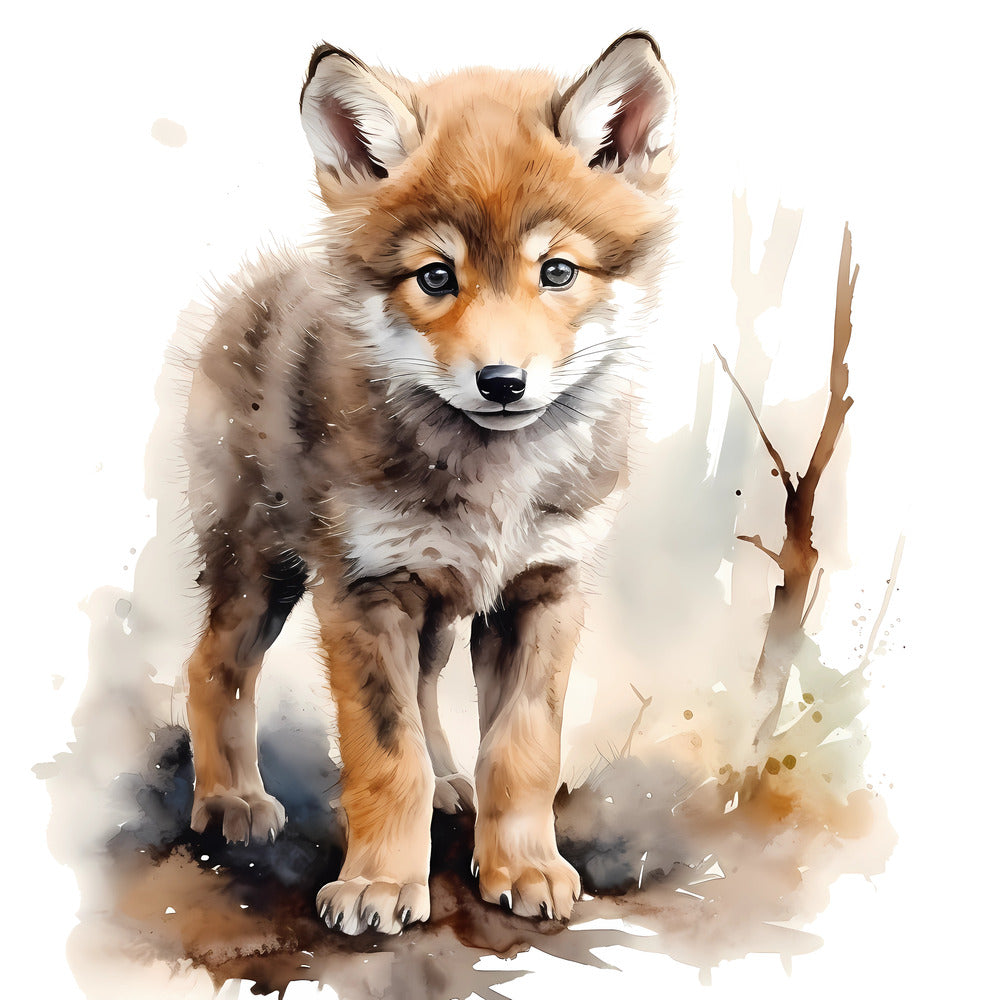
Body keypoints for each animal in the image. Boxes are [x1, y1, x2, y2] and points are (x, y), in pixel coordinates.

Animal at [182, 31, 675, 935]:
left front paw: (523, 866)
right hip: (262, 568)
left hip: (436, 605)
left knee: (425, 689)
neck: (495, 484)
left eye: (558, 272)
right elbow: (386, 754)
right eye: (435, 277)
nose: (503, 383)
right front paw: (380, 883)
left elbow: (520, 750)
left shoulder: (543, 588)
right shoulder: (362, 590)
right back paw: (231, 798)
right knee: (212, 668)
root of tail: (264, 279)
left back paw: (450, 783)